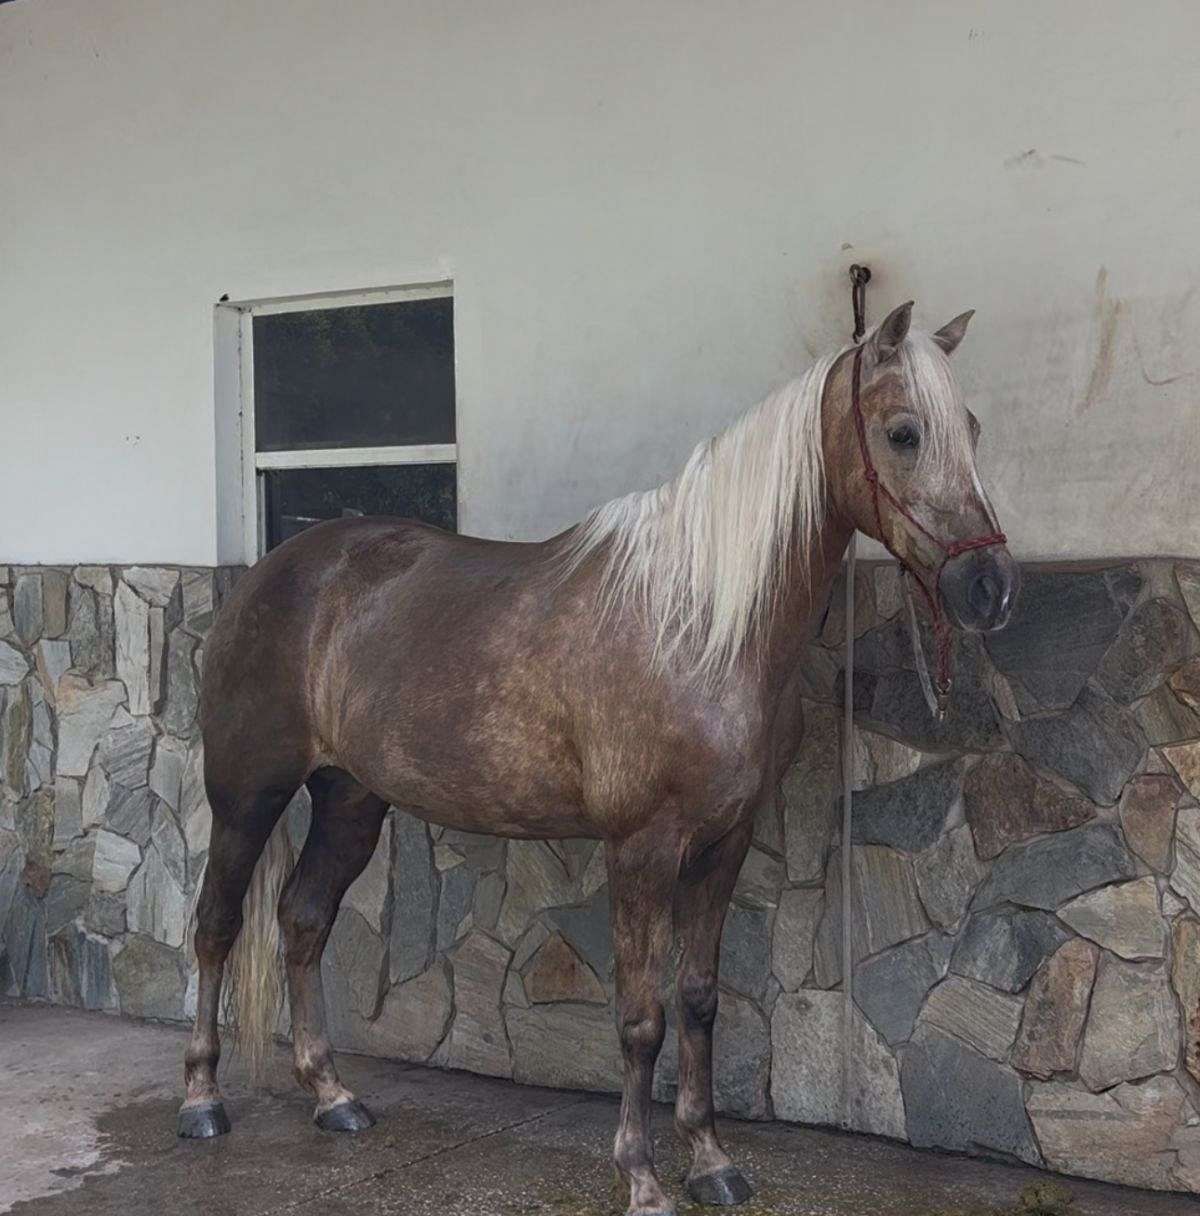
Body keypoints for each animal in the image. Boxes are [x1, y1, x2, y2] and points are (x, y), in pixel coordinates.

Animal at [178, 300, 1018, 1216]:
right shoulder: (642, 848)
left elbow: (698, 999)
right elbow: (641, 1018)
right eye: (904, 432)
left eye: (974, 428)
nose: (991, 587)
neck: (700, 622)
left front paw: (711, 1161)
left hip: (350, 799)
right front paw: (643, 1178)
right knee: (217, 925)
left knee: (302, 919)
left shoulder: (724, 842)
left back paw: (332, 1095)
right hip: (248, 795)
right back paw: (202, 1101)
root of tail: (271, 571)